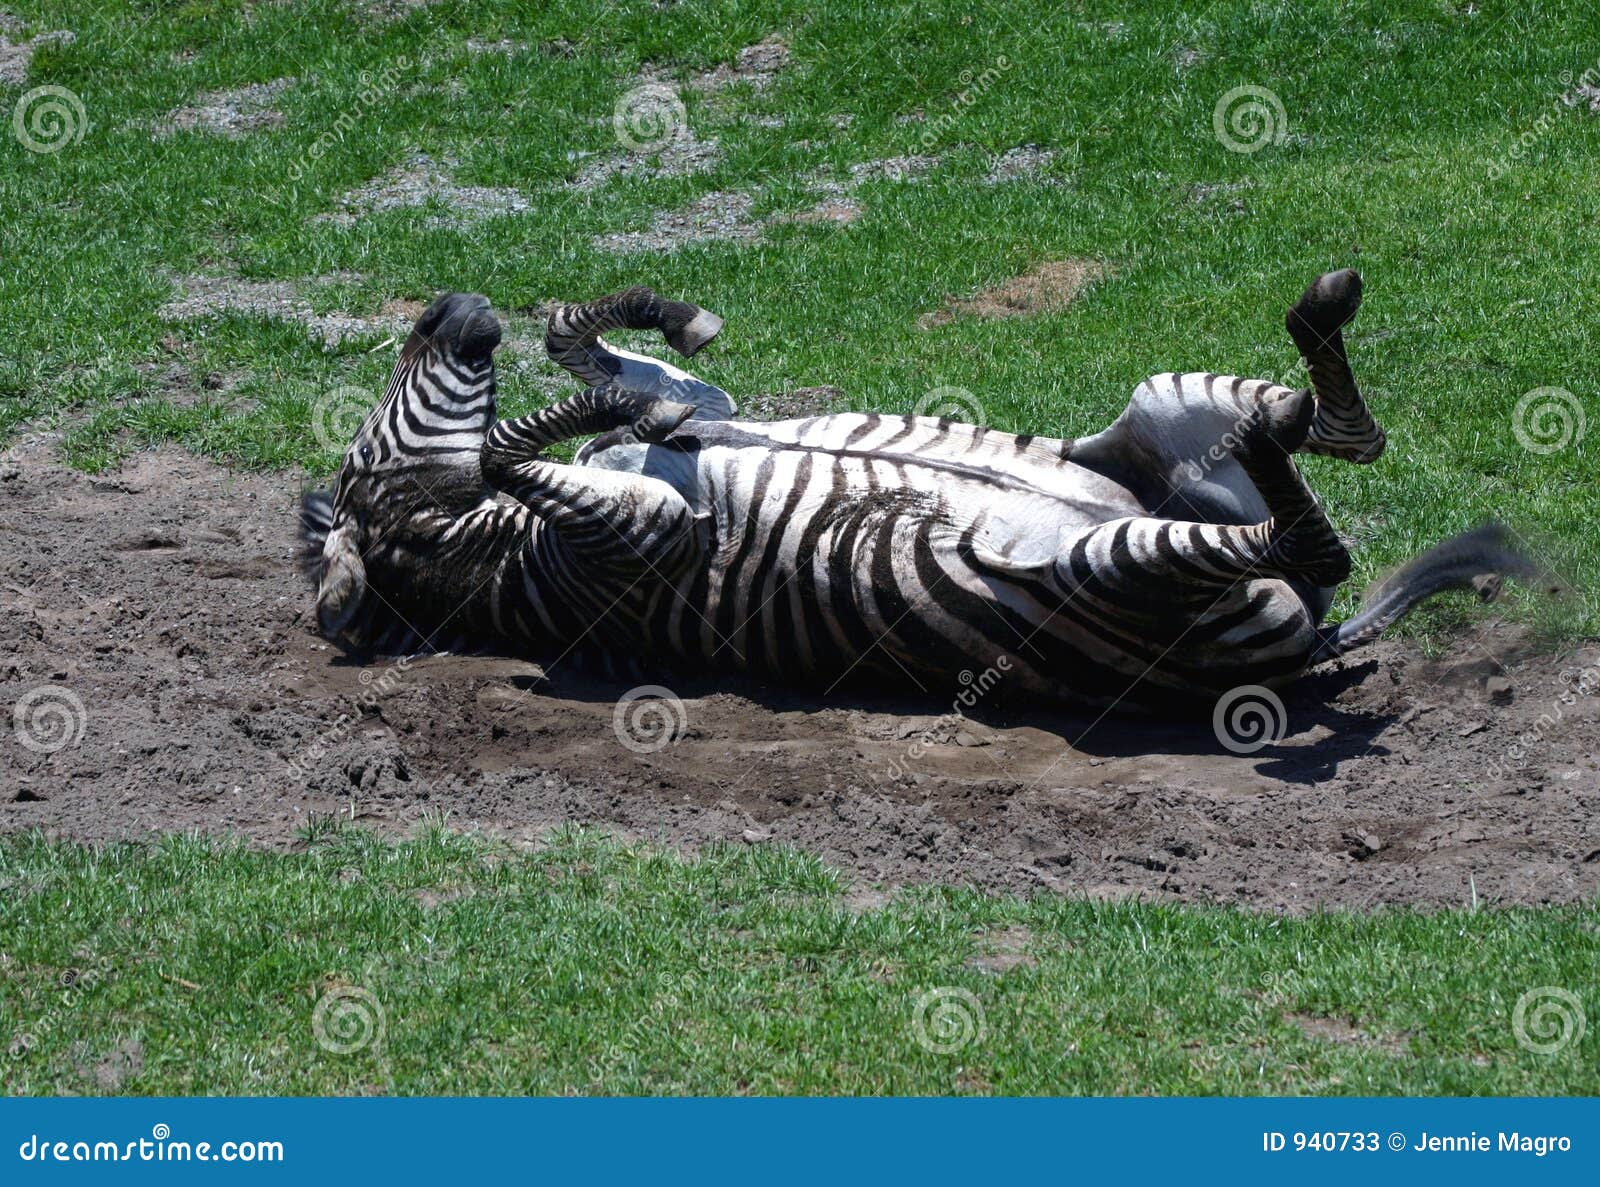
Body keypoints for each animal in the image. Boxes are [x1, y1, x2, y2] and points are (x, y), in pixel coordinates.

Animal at [300, 271, 1539, 714]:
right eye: (365, 464)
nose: (443, 303)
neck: (503, 549)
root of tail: (1314, 638)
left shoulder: (677, 423)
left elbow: (589, 344)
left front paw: (663, 324)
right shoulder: (629, 539)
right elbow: (509, 444)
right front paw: (635, 412)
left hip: (1158, 410)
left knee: (1342, 435)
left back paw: (1315, 326)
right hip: (1105, 568)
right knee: (1315, 541)